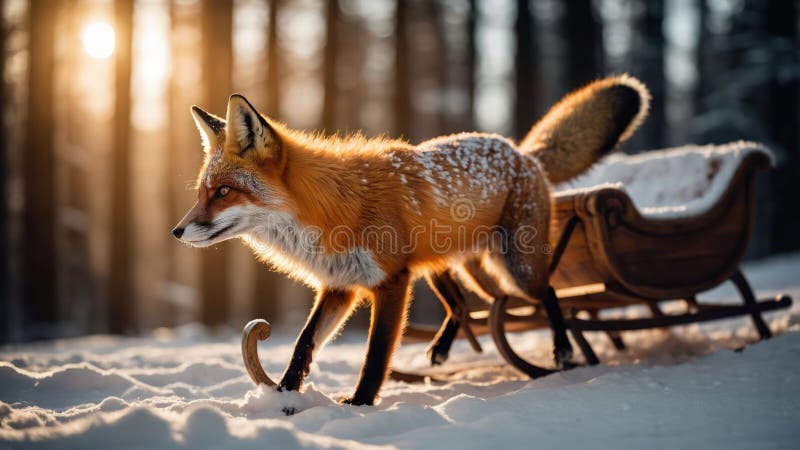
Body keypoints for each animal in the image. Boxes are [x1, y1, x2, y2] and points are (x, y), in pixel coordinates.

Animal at [172, 74, 649, 406]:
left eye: (224, 192)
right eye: (201, 192)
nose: (177, 231)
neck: (329, 209)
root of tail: (522, 151)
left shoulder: (391, 281)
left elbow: (376, 353)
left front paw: (360, 403)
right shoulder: (340, 285)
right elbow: (303, 344)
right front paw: (285, 396)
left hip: (514, 266)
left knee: (548, 292)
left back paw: (562, 350)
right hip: (448, 265)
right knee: (460, 304)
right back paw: (440, 350)